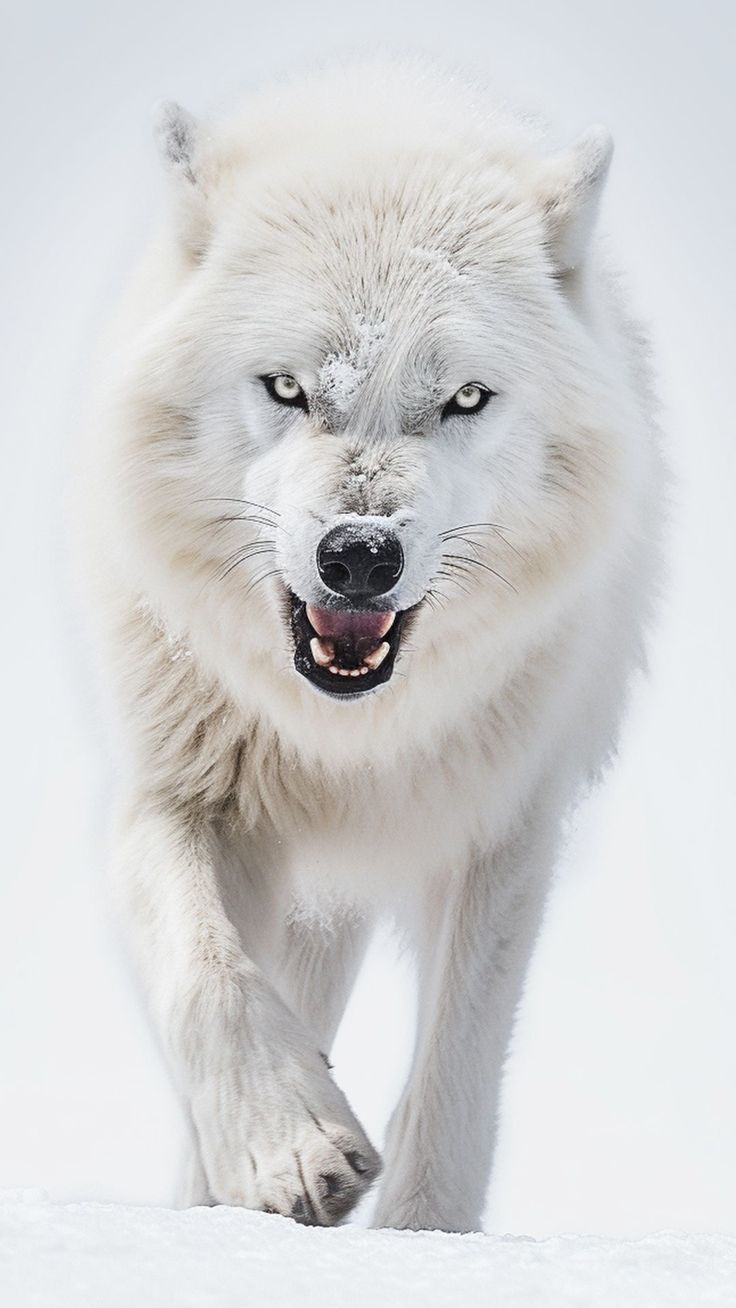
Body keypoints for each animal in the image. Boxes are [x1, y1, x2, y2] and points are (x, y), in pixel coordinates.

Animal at [79, 56, 661, 1229]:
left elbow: (457, 1062)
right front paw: (291, 1148)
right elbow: (211, 975)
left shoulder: (504, 830)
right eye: (287, 388)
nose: (359, 556)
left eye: (465, 399)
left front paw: (423, 1232)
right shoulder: (173, 792)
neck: (347, 735)